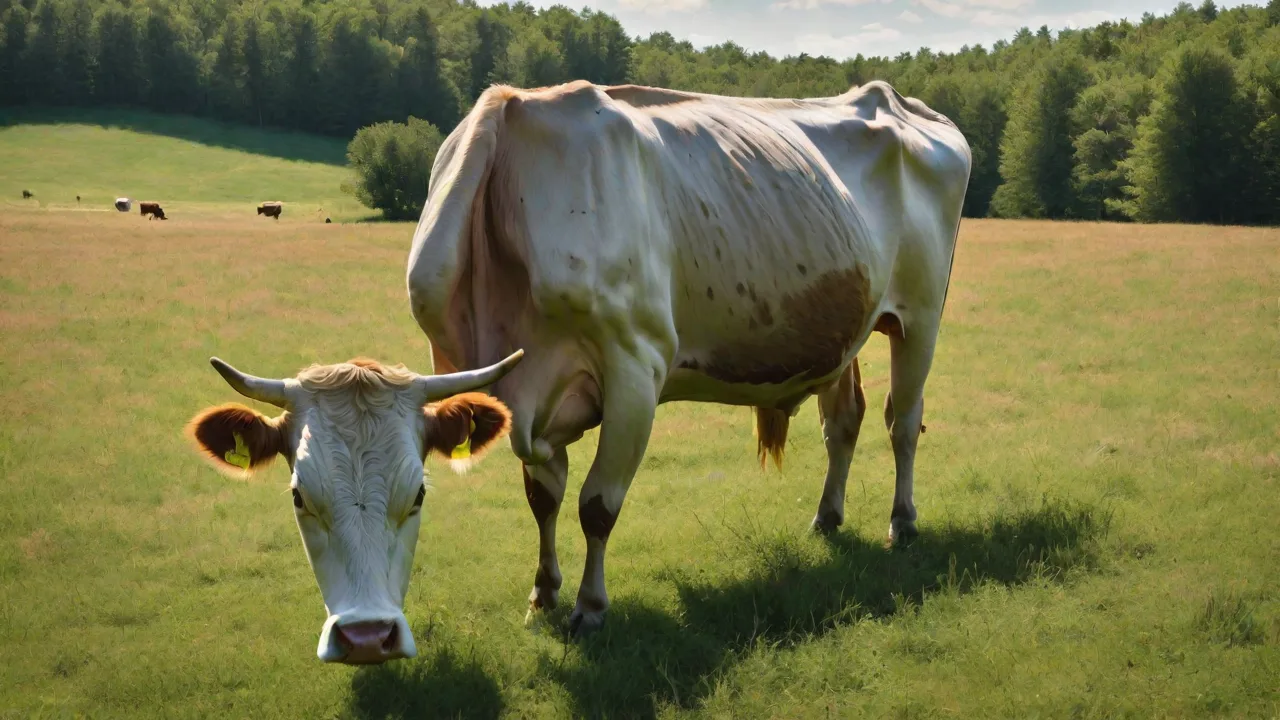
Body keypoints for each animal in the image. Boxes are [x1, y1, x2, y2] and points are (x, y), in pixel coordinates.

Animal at [406, 80, 972, 638]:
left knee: (903, 421)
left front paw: (590, 606)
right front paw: (543, 594)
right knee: (843, 423)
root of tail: (897, 99)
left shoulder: (635, 369)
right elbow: (543, 498)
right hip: (842, 322)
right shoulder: (536, 397)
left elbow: (597, 505)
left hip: (920, 315)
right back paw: (827, 516)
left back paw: (902, 520)